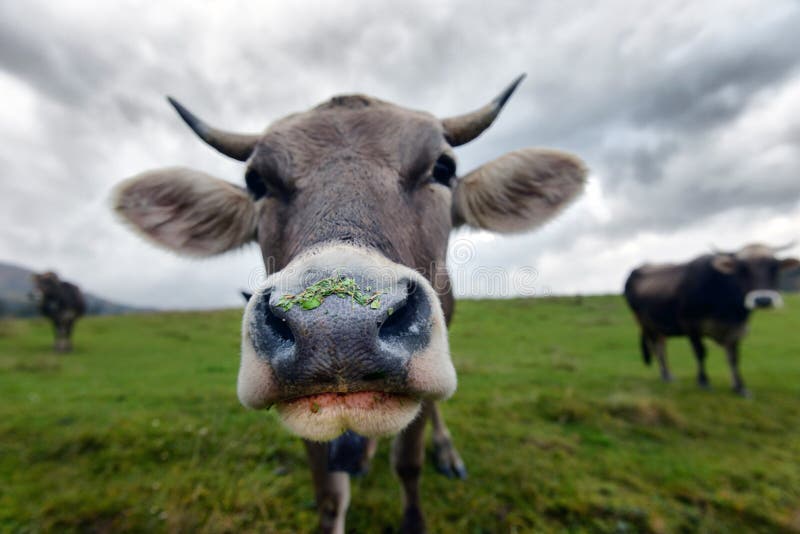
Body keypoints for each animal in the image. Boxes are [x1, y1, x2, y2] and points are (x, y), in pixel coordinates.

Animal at [624, 243, 799, 397]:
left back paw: (668, 375)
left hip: (658, 327)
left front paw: (740, 388)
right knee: (656, 348)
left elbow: (733, 358)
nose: (763, 300)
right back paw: (666, 375)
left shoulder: (736, 329)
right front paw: (704, 382)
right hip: (644, 323)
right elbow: (701, 353)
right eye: (742, 268)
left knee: (661, 346)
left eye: (774, 267)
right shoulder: (691, 325)